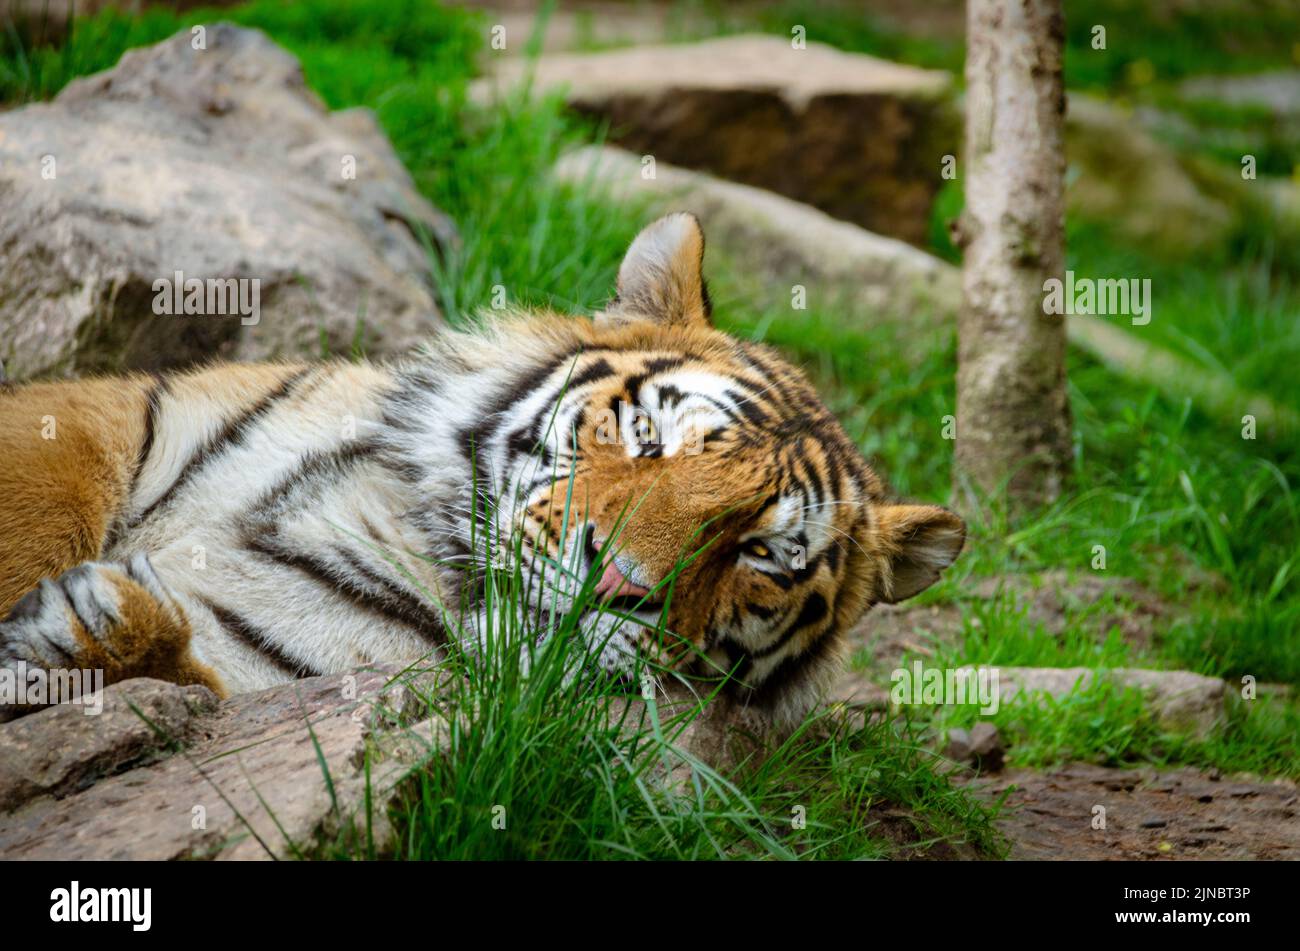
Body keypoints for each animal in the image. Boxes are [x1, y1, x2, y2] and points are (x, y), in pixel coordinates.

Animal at [0, 213, 965, 726]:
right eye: (649, 434)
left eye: (761, 554)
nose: (616, 583)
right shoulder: (115, 415)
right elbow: (41, 498)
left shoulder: (282, 676)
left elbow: (193, 677)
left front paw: (95, 631)